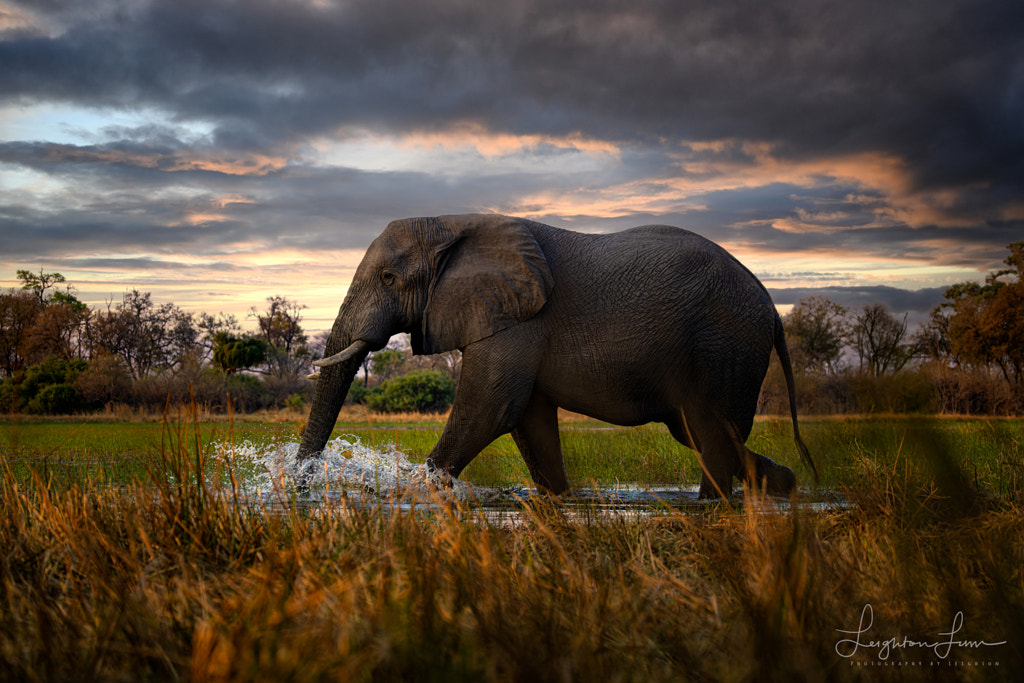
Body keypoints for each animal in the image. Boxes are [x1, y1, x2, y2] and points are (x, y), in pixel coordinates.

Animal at [298, 213, 815, 498]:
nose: (300, 490)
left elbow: (490, 407)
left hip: (724, 345)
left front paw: (404, 495)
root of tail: (772, 308)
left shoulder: (522, 320)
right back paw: (786, 487)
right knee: (703, 435)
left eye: (388, 277)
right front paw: (559, 501)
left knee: (711, 434)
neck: (453, 223)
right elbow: (528, 419)